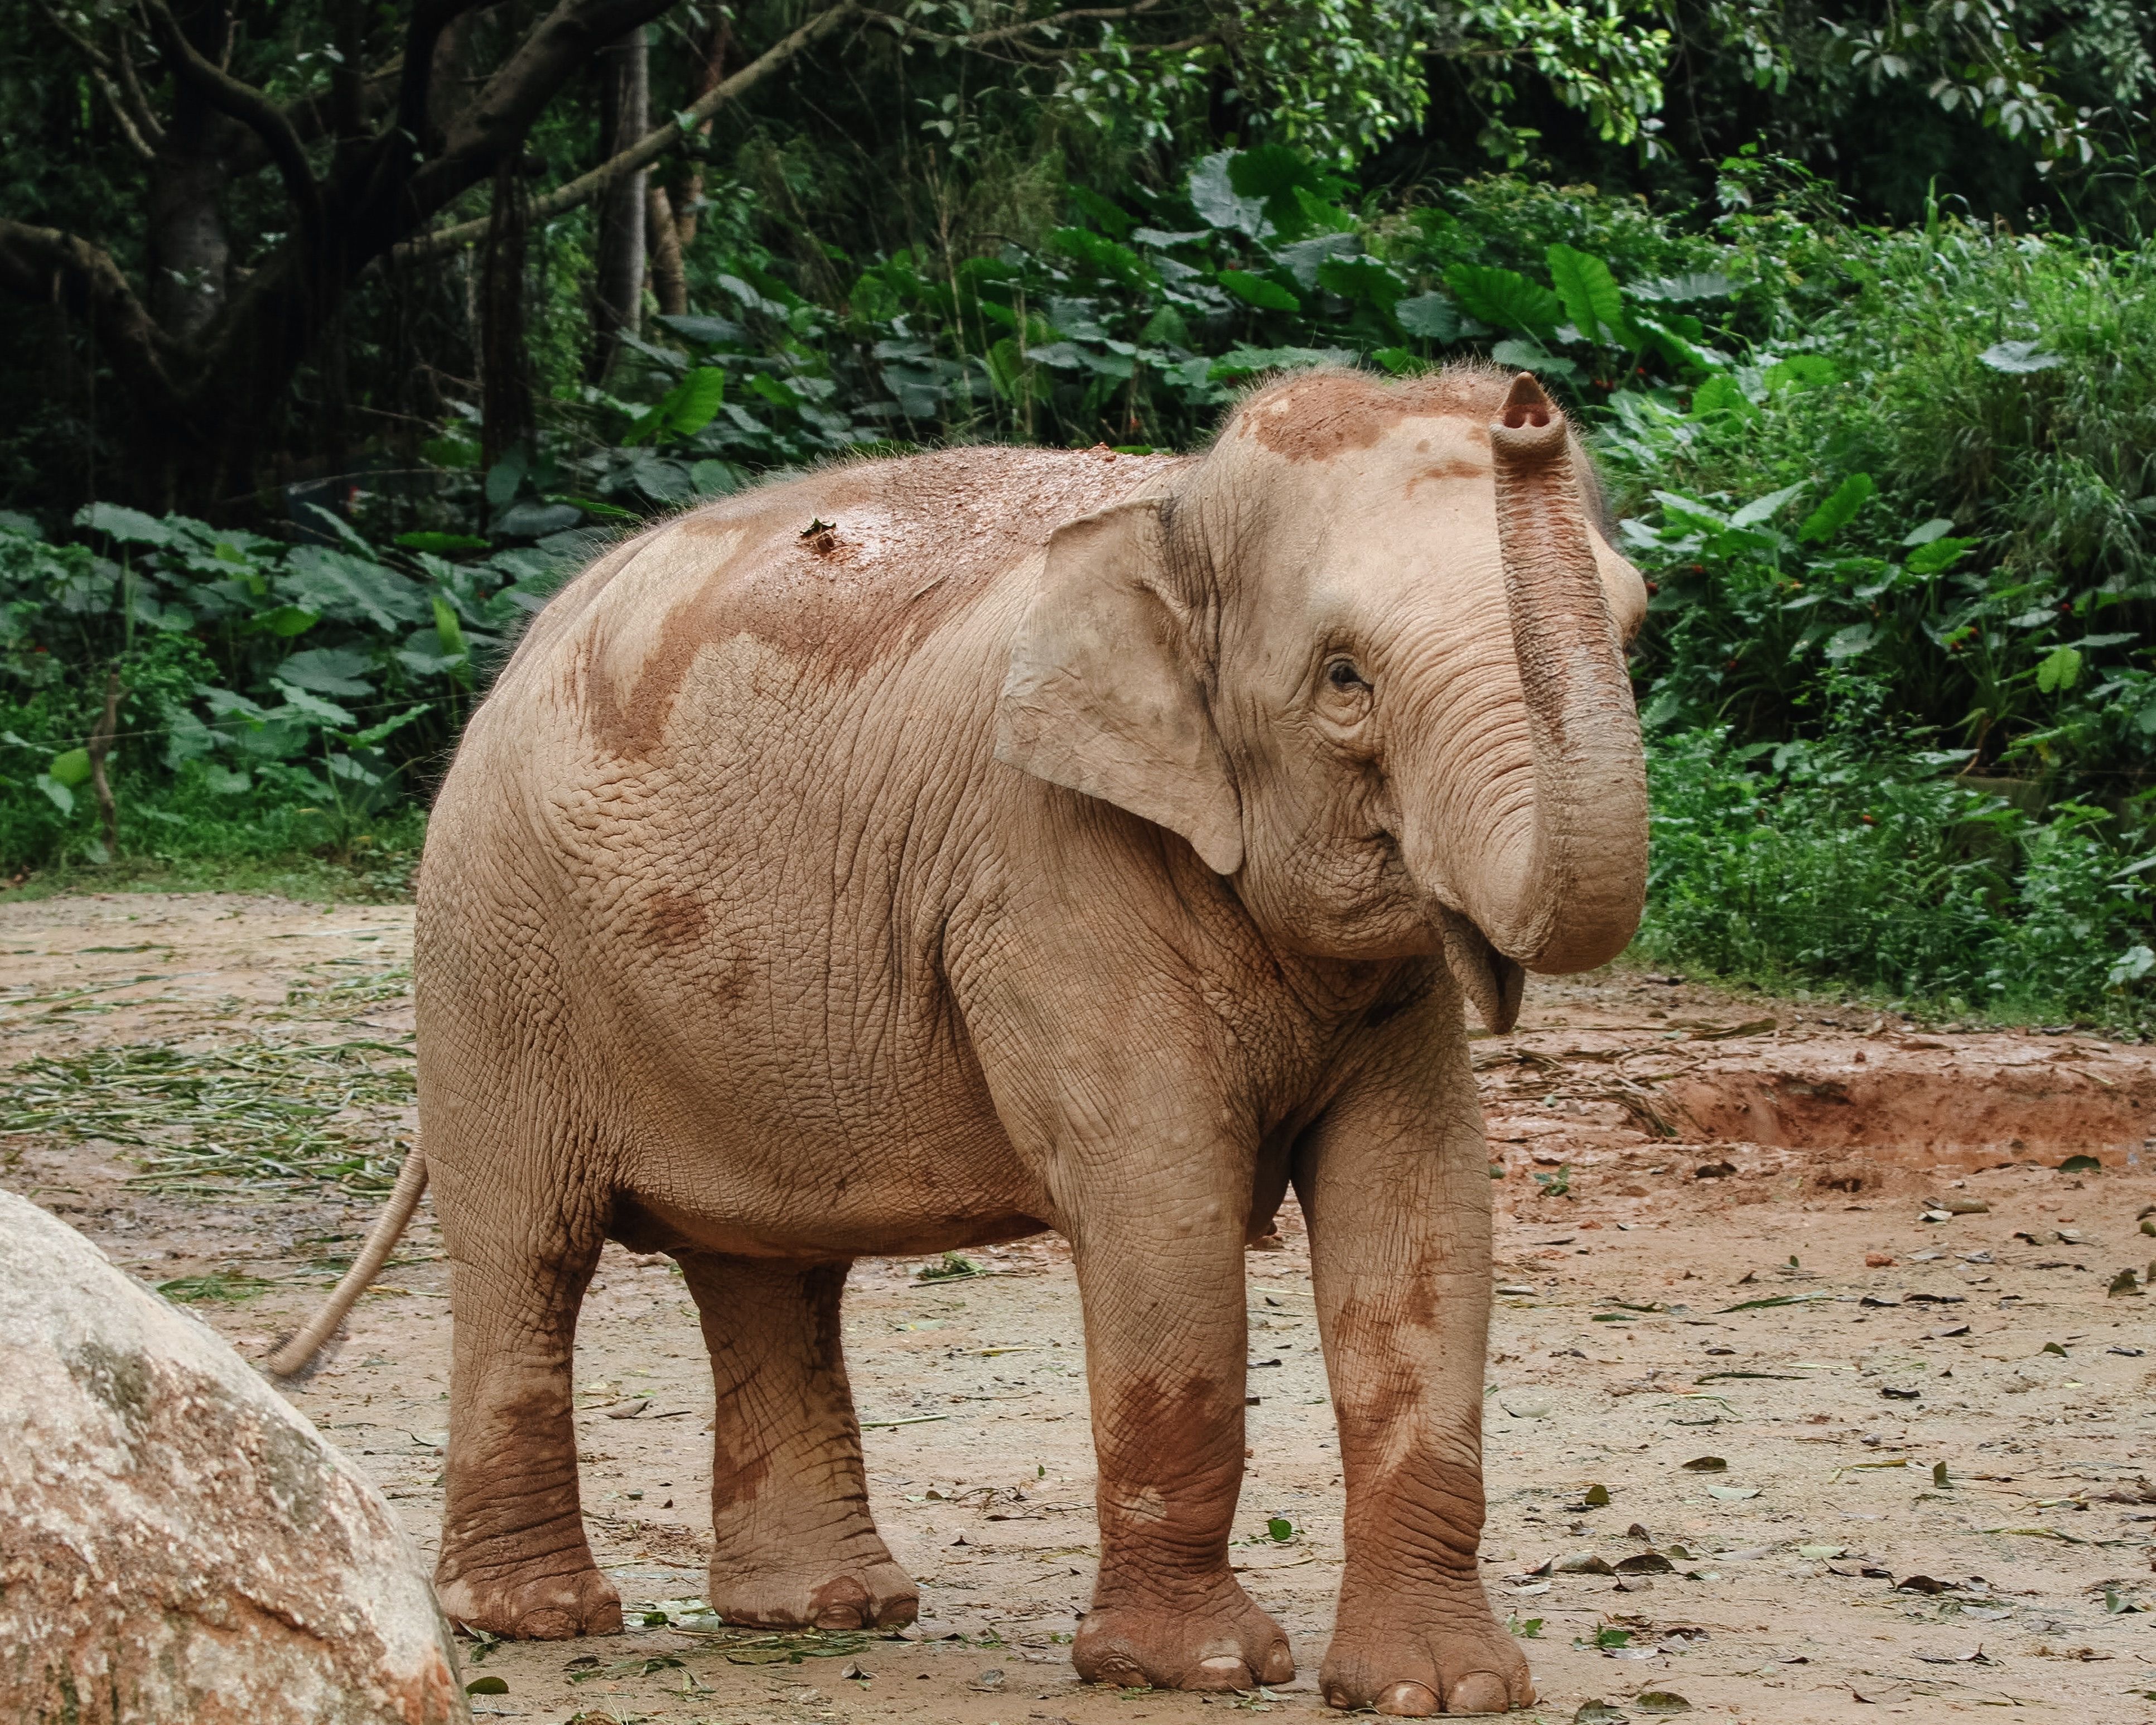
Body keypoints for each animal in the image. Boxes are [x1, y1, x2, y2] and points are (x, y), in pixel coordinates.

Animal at [274, 364, 1648, 1717]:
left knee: (763, 1269)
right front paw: (1191, 1670)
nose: (1527, 405)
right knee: (528, 1250)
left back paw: (825, 1612)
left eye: (1633, 630)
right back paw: (542, 1618)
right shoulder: (1041, 868)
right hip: (494, 960)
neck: (1174, 508)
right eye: (1345, 679)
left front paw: (1443, 1689)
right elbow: (1162, 1204)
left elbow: (1419, 1213)